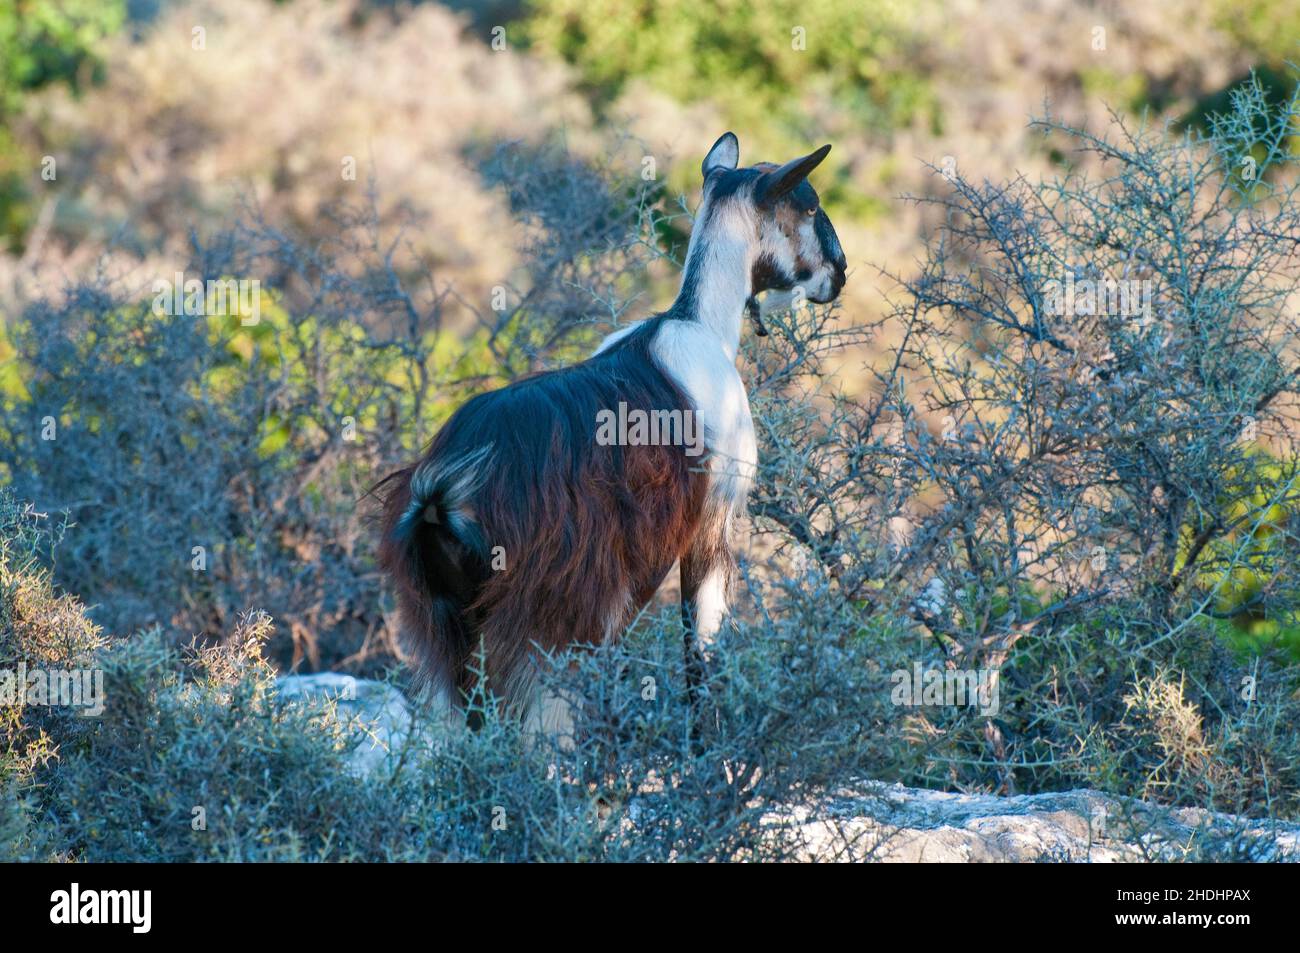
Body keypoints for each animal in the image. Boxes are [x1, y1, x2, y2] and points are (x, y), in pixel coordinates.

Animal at [377, 132, 847, 723]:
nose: (840, 271)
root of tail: (444, 492)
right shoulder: (709, 523)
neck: (698, 322)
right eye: (808, 206)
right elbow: (700, 654)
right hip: (547, 622)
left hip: (451, 630)